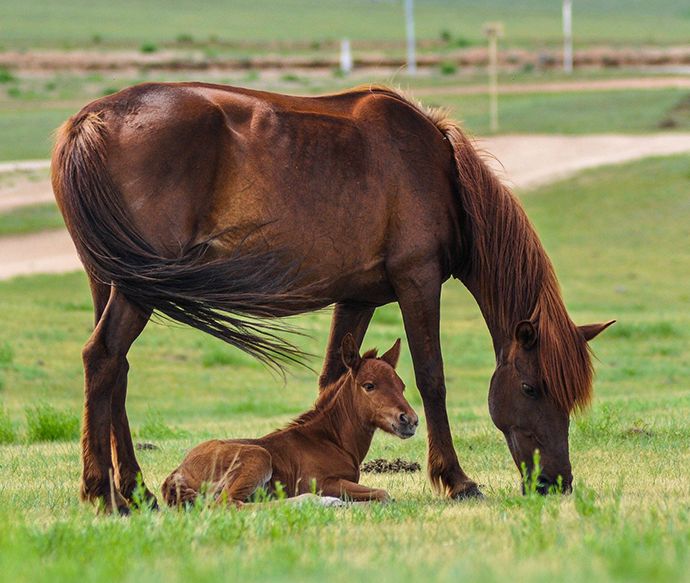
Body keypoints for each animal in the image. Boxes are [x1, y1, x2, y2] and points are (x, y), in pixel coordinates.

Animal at [161, 334, 417, 507]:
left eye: (402, 386)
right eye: (369, 385)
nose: (410, 420)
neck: (331, 440)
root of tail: (178, 472)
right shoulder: (322, 482)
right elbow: (383, 494)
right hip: (258, 457)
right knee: (229, 504)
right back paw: (320, 502)